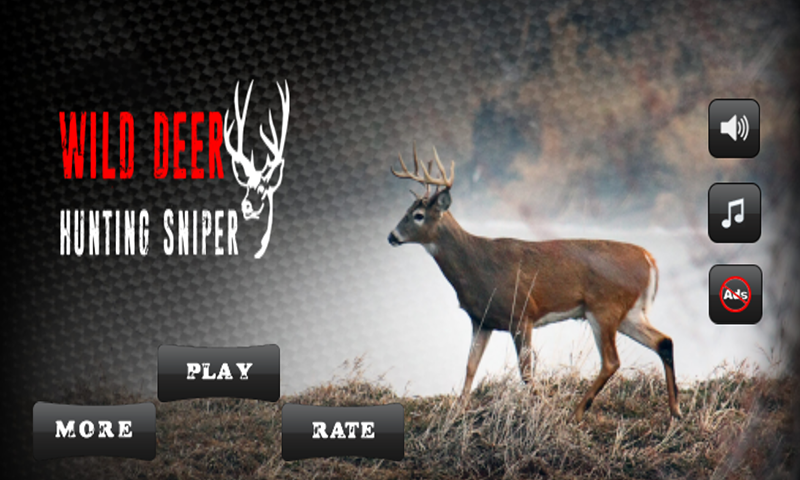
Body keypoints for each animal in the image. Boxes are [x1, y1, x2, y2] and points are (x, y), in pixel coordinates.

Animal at [387, 146, 681, 421]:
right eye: (407, 210)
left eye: (418, 215)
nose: (392, 236)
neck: (477, 267)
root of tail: (649, 259)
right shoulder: (481, 319)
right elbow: (470, 366)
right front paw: (457, 411)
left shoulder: (521, 313)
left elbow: (526, 371)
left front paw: (546, 408)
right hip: (629, 312)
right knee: (663, 341)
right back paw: (675, 411)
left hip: (604, 308)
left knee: (611, 361)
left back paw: (576, 412)